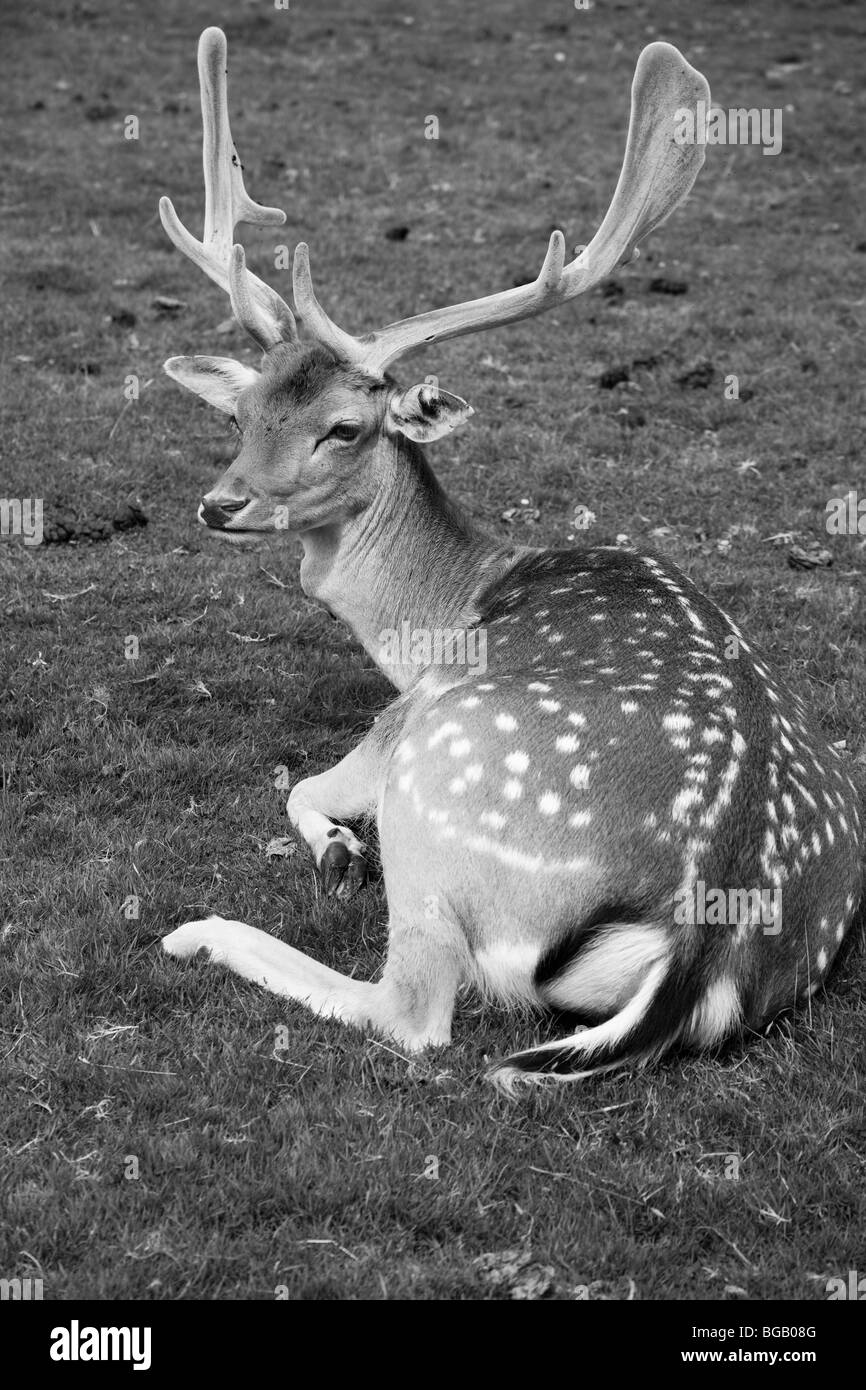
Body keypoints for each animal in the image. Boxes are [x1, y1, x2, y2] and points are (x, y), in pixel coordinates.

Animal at [159, 27, 863, 1091]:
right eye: (241, 414)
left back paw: (202, 930)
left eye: (345, 428)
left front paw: (335, 847)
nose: (220, 502)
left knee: (413, 1011)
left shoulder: (397, 717)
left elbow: (300, 786)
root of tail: (707, 931)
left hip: (435, 781)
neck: (451, 603)